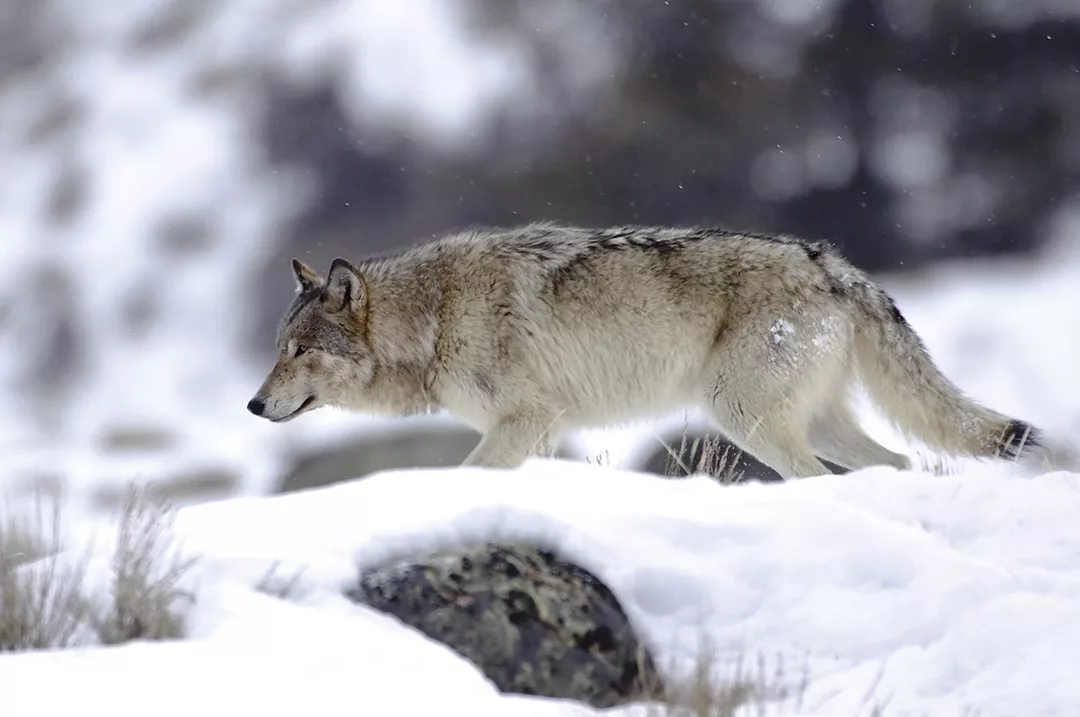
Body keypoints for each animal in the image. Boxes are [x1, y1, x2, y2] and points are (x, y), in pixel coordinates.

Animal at [247, 222, 1071, 479]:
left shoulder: (523, 421)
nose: (253, 404)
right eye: (277, 348)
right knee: (898, 463)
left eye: (298, 350)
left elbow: (466, 474)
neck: (437, 316)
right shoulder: (541, 431)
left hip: (743, 416)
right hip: (814, 420)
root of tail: (831, 262)